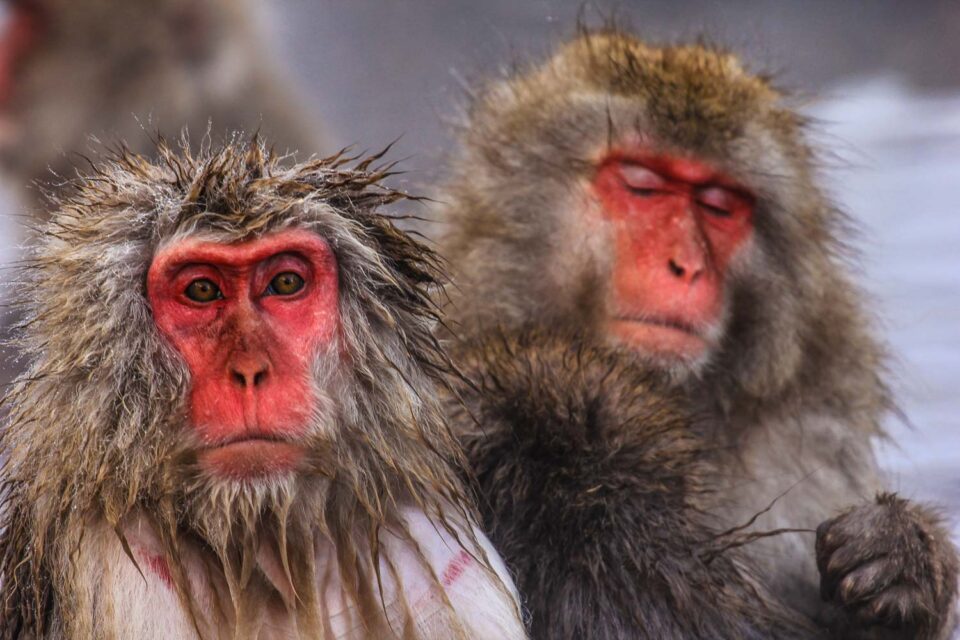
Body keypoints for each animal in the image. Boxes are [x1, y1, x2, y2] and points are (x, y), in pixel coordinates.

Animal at [0, 136, 526, 639]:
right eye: (202, 290)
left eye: (286, 283)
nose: (251, 371)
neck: (274, 556)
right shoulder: (114, 567)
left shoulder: (449, 567)